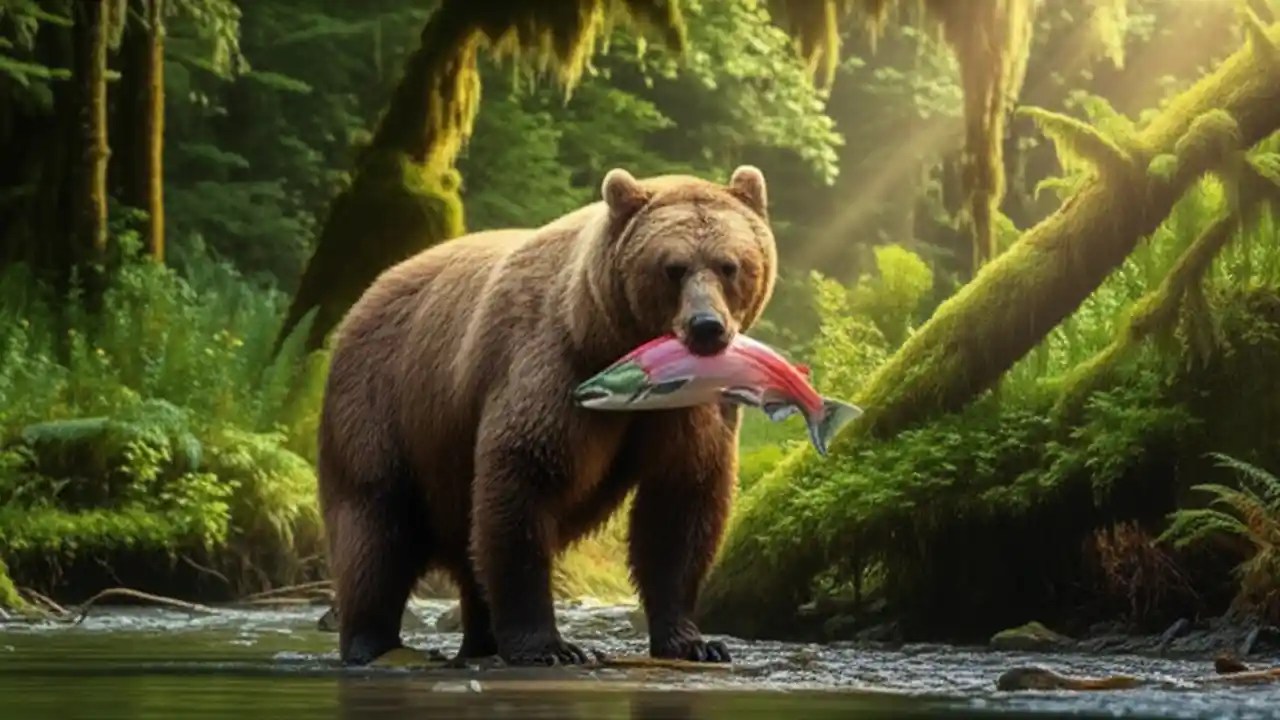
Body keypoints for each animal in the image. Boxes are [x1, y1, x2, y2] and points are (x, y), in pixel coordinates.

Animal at [317, 164, 777, 667]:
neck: (614, 345)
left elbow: (681, 503)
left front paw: (695, 640)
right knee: (376, 527)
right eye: (672, 268)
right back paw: (372, 641)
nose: (706, 327)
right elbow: (524, 481)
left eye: (730, 265)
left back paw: (479, 640)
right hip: (383, 406)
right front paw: (550, 646)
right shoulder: (551, 368)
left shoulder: (689, 408)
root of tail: (363, 298)